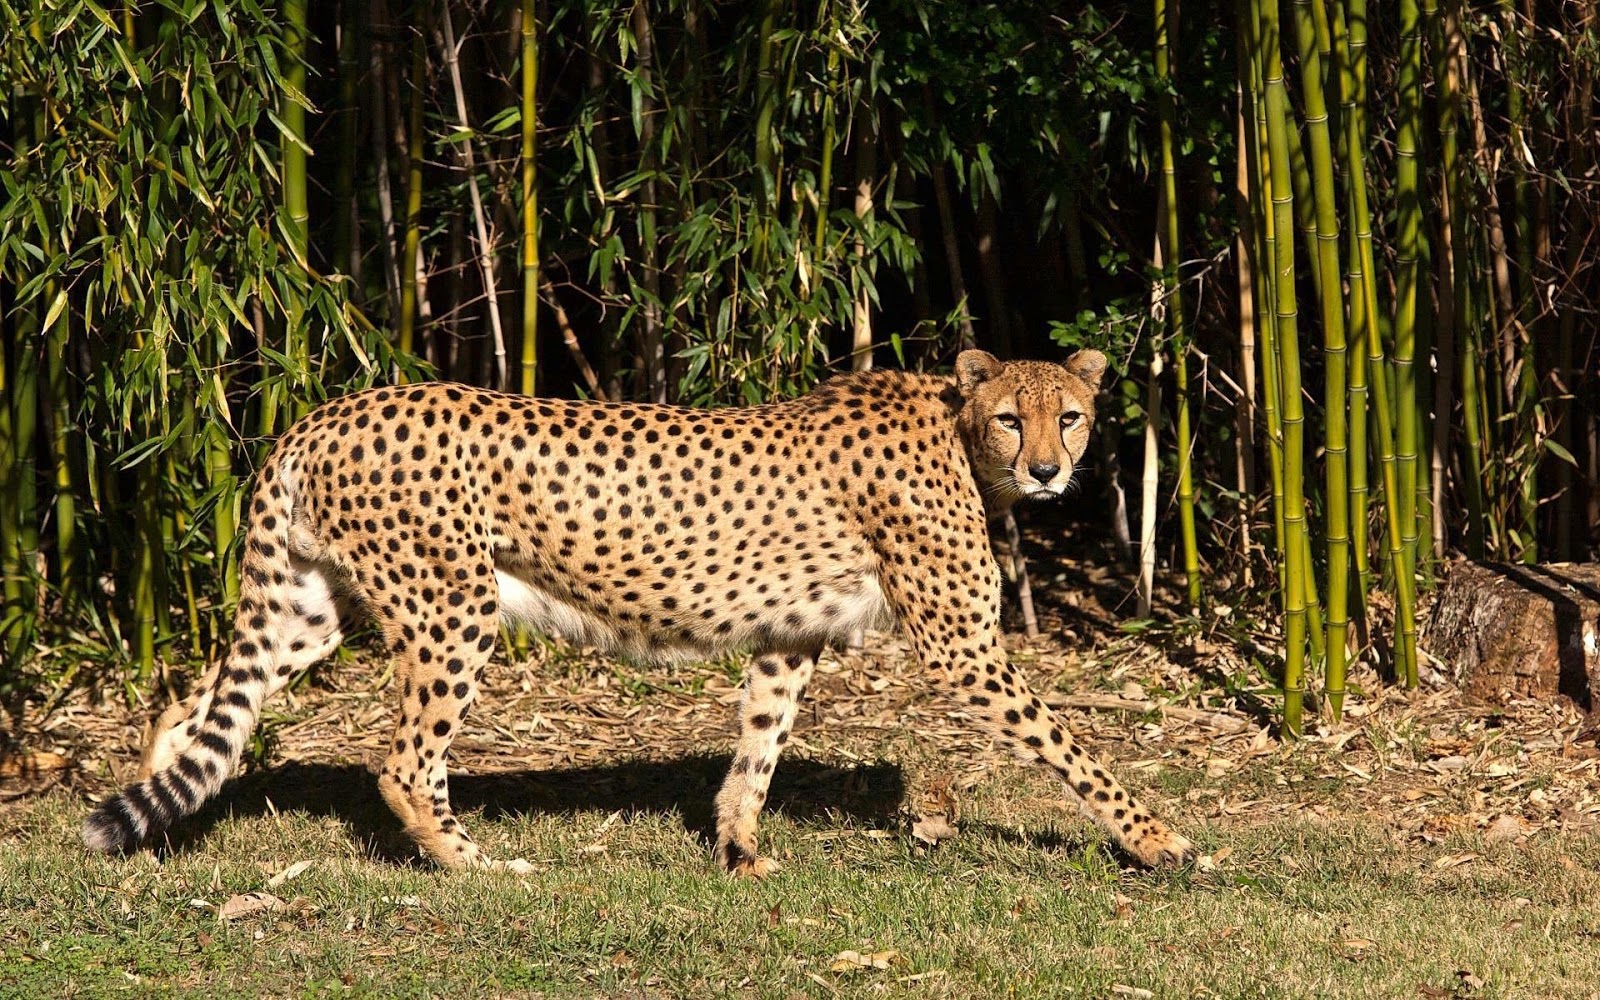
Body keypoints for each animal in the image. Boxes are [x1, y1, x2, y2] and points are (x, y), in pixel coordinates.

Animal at [83, 348, 1195, 875]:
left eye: (1072, 415)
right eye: (1011, 417)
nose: (1049, 470)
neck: (958, 437)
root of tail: (326, 411)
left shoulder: (787, 637)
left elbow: (757, 747)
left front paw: (739, 850)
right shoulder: (964, 648)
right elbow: (1074, 747)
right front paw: (1157, 840)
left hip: (318, 606)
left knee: (191, 710)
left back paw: (161, 826)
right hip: (453, 607)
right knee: (403, 762)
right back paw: (475, 866)